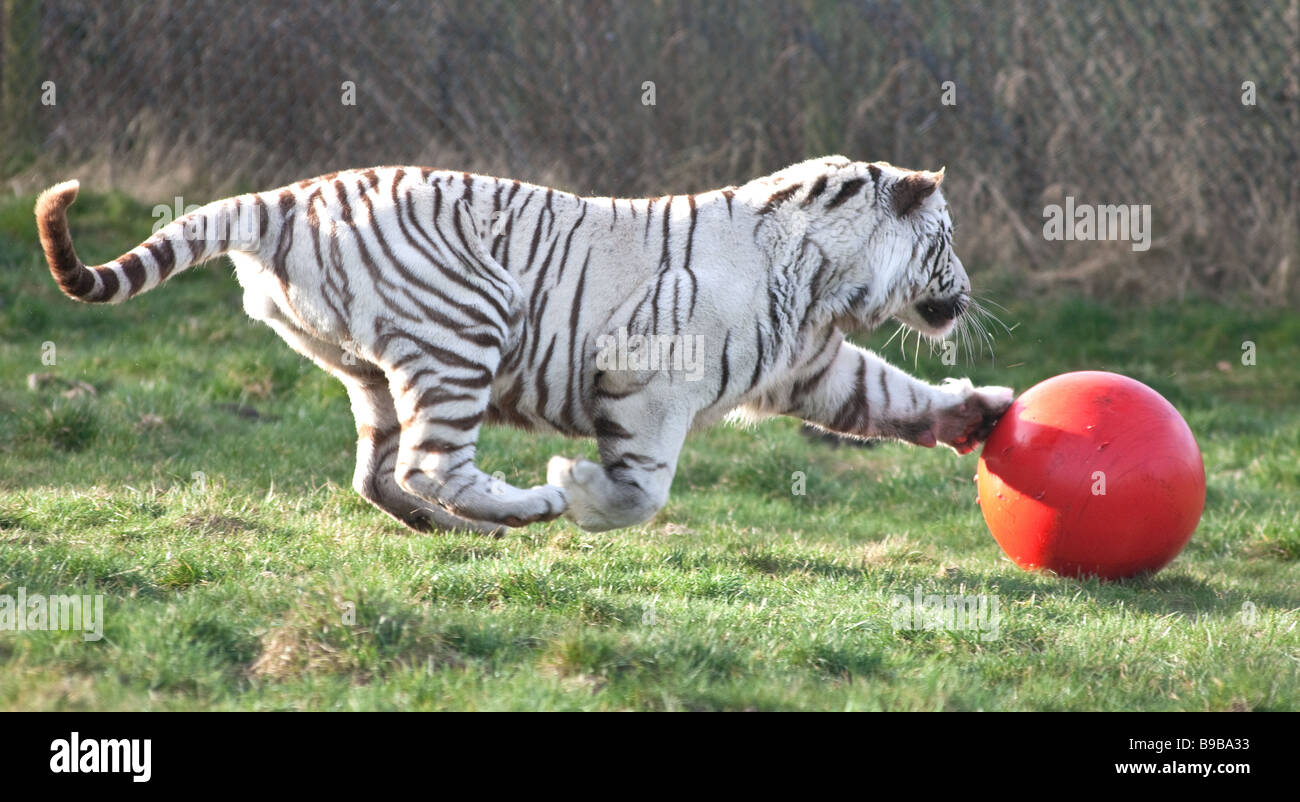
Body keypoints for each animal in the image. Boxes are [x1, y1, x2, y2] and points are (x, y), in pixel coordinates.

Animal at [35, 156, 1014, 536]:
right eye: (948, 240)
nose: (968, 296)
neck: (820, 283)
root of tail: (287, 195)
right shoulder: (651, 386)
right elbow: (642, 492)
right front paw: (576, 491)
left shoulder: (813, 365)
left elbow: (888, 396)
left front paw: (976, 413)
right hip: (465, 326)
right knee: (432, 462)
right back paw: (523, 507)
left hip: (372, 371)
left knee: (378, 475)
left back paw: (458, 526)